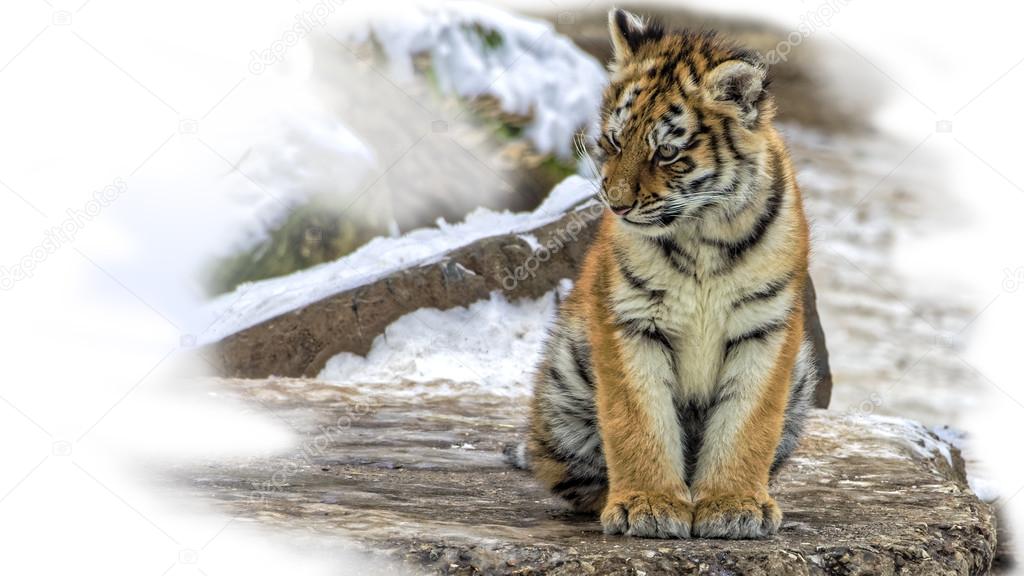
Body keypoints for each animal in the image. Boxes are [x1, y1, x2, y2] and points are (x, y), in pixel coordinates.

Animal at [524, 9, 817, 539]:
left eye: (666, 153)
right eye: (615, 140)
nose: (616, 205)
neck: (701, 232)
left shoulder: (765, 327)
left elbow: (747, 422)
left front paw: (732, 504)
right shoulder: (630, 322)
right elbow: (638, 419)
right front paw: (649, 504)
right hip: (562, 387)